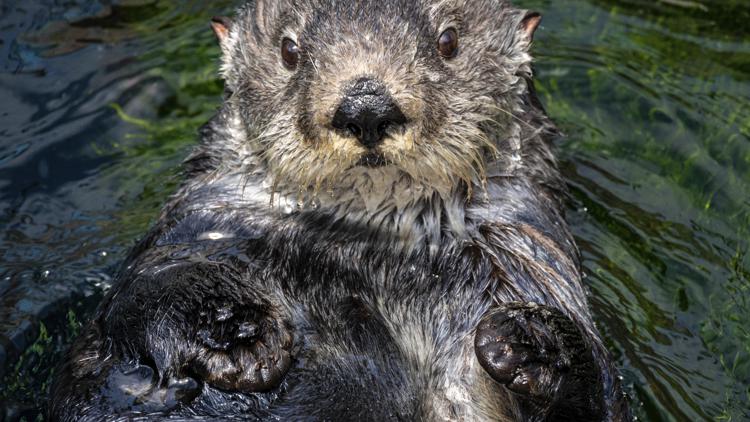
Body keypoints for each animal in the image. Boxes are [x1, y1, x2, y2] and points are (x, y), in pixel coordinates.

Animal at [50, 0, 631, 420]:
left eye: (448, 42)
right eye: (289, 50)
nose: (366, 107)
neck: (373, 251)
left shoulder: (529, 257)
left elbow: (603, 401)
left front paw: (535, 343)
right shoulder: (202, 222)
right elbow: (139, 296)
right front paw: (232, 329)